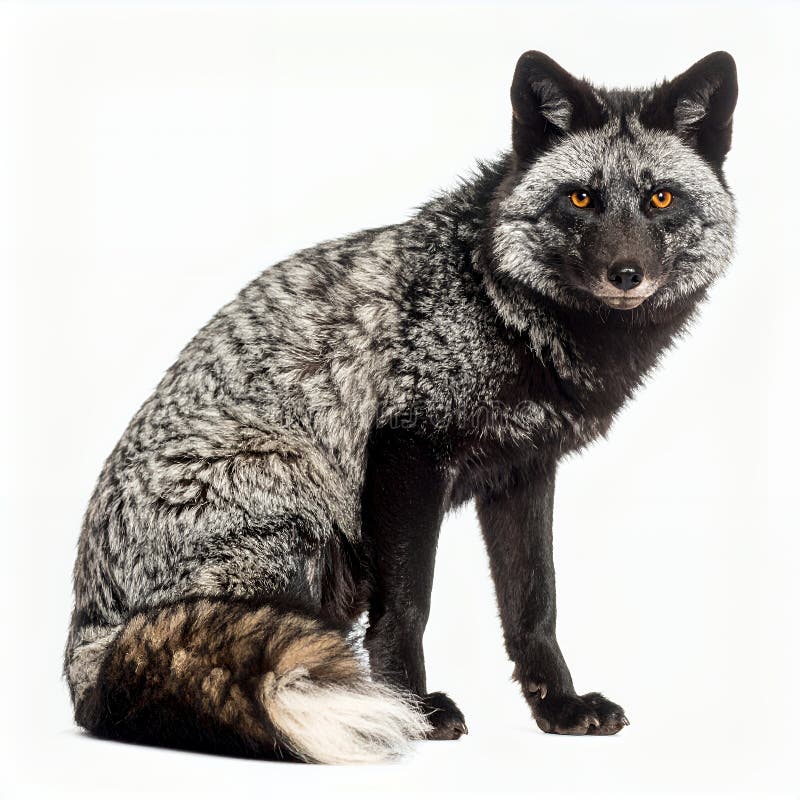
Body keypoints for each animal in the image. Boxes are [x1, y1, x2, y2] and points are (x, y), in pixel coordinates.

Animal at [65, 50, 738, 764]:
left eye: (661, 198)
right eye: (581, 197)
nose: (627, 274)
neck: (495, 297)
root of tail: (88, 659)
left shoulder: (523, 471)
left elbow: (535, 606)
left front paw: (558, 707)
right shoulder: (408, 450)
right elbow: (408, 606)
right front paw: (412, 709)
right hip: (295, 496)